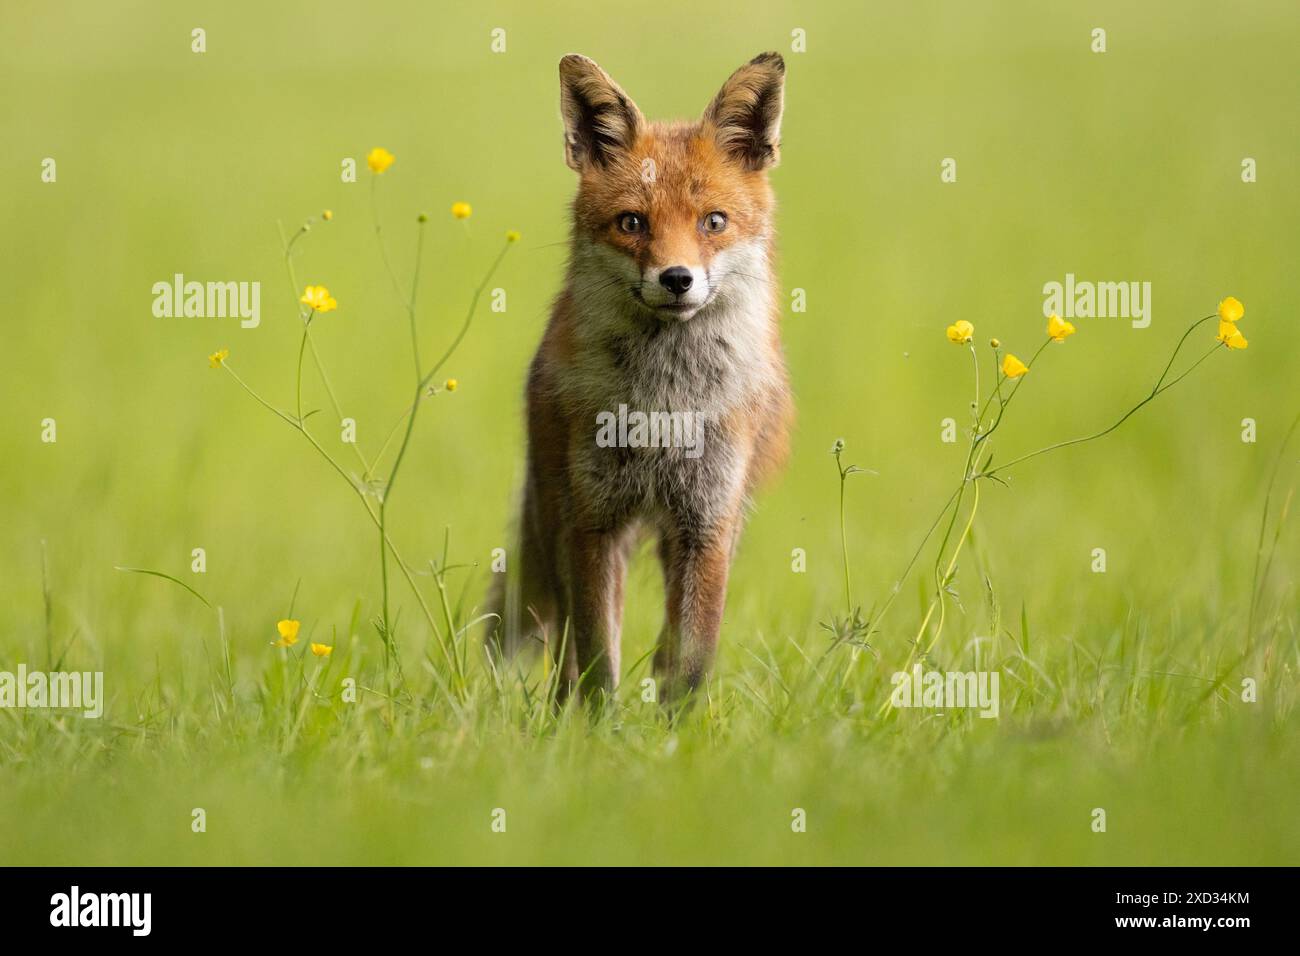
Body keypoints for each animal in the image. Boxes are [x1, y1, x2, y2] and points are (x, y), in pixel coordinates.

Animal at [489, 52, 793, 705]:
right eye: (632, 222)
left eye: (713, 221)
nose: (677, 278)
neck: (665, 406)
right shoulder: (593, 522)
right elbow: (596, 660)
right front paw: (600, 726)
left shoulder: (707, 523)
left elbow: (691, 659)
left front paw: (678, 728)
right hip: (555, 516)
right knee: (564, 644)